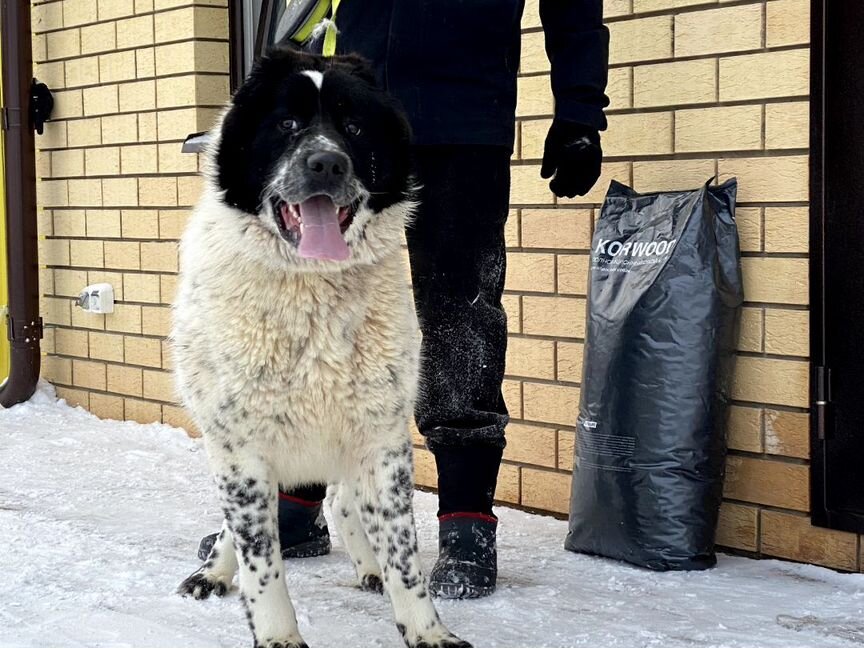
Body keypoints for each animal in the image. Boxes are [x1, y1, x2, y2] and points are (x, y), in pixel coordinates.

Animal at [175, 46, 470, 648]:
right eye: (286, 125)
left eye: (353, 128)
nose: (327, 165)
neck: (312, 289)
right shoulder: (242, 448)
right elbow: (262, 562)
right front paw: (278, 636)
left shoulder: (381, 440)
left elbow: (404, 556)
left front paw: (426, 631)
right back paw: (213, 571)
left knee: (341, 501)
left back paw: (368, 567)